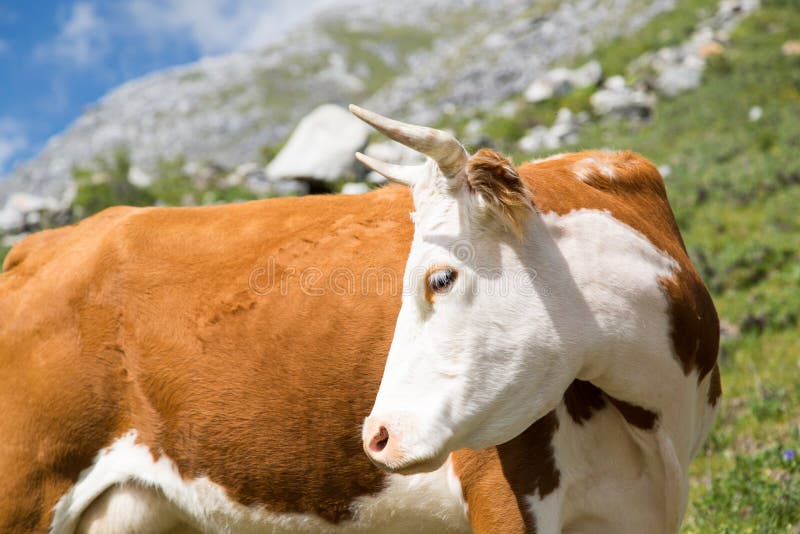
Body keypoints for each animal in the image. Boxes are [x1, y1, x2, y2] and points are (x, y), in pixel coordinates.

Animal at [0, 105, 720, 533]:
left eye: (440, 277)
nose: (375, 436)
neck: (654, 415)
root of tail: (46, 243)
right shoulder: (503, 493)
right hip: (25, 488)